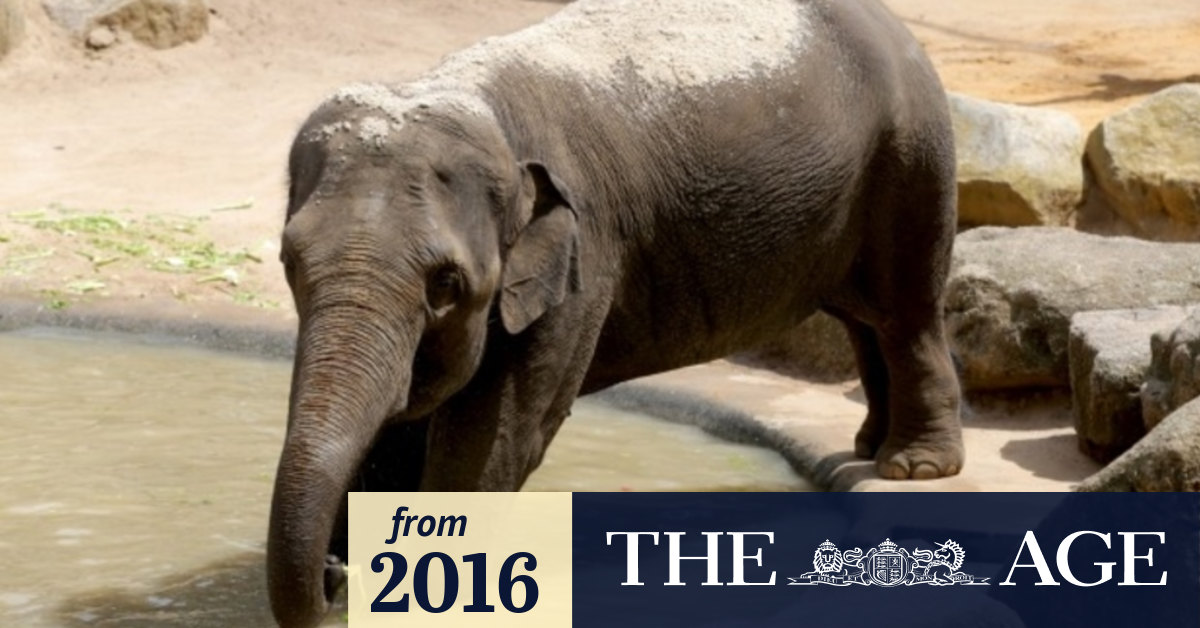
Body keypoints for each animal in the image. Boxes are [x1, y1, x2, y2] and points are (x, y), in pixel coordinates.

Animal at [267, 0, 963, 625]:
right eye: (289, 262)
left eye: (446, 283)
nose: (330, 579)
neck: (476, 100)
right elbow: (409, 422)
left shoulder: (582, 259)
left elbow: (495, 433)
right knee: (862, 319)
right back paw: (871, 445)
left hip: (911, 163)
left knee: (906, 313)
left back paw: (914, 466)